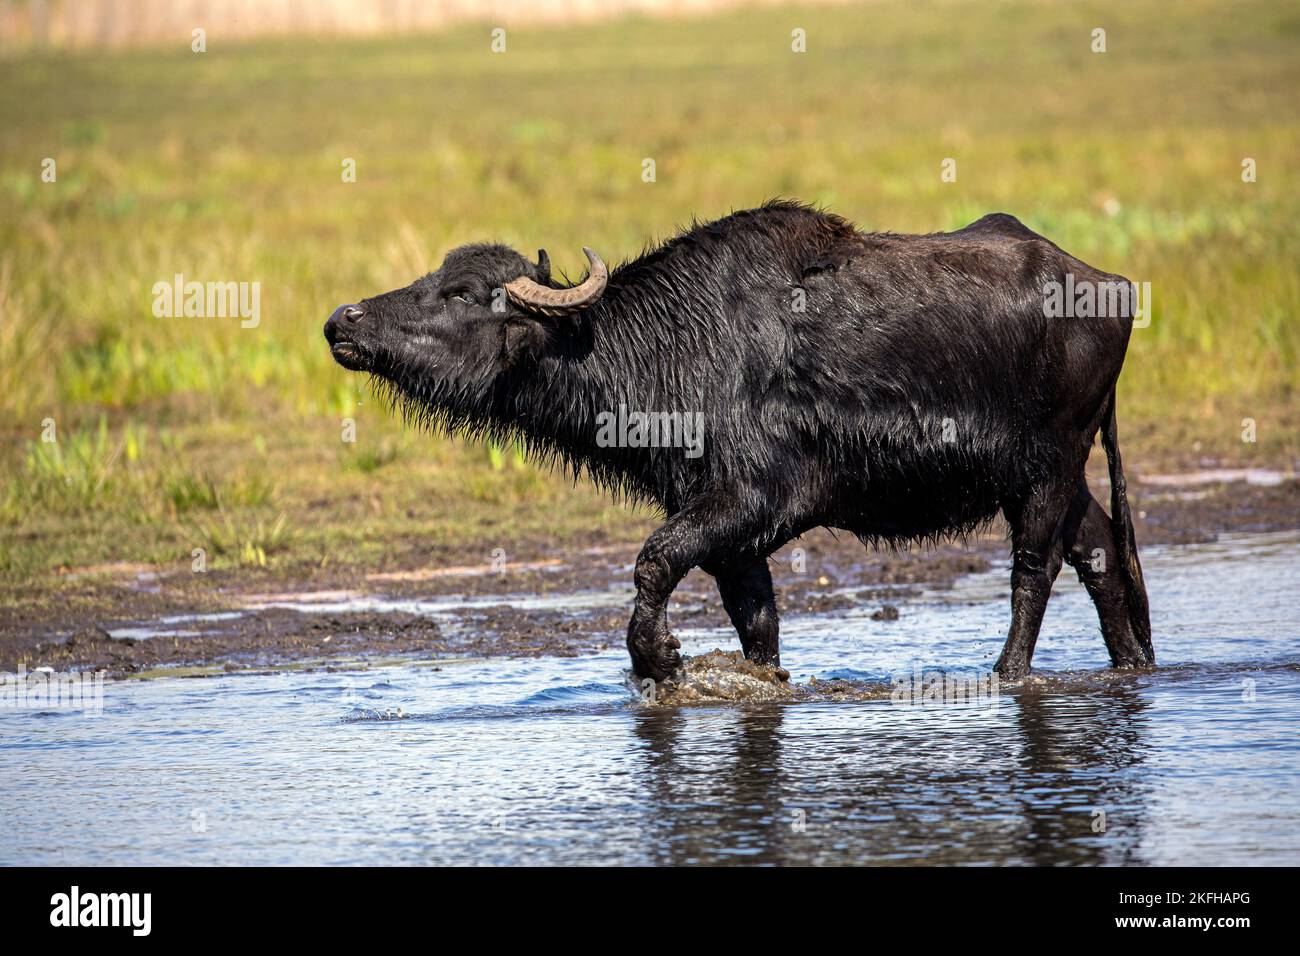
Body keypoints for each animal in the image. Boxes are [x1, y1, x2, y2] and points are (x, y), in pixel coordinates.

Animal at [325, 201, 1152, 682]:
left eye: (467, 294)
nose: (342, 320)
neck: (672, 345)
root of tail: (1109, 286)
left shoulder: (748, 502)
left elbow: (654, 561)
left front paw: (658, 659)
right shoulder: (731, 534)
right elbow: (757, 621)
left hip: (1046, 471)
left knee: (1033, 572)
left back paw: (1006, 672)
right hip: (1059, 477)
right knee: (1102, 555)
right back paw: (1134, 665)